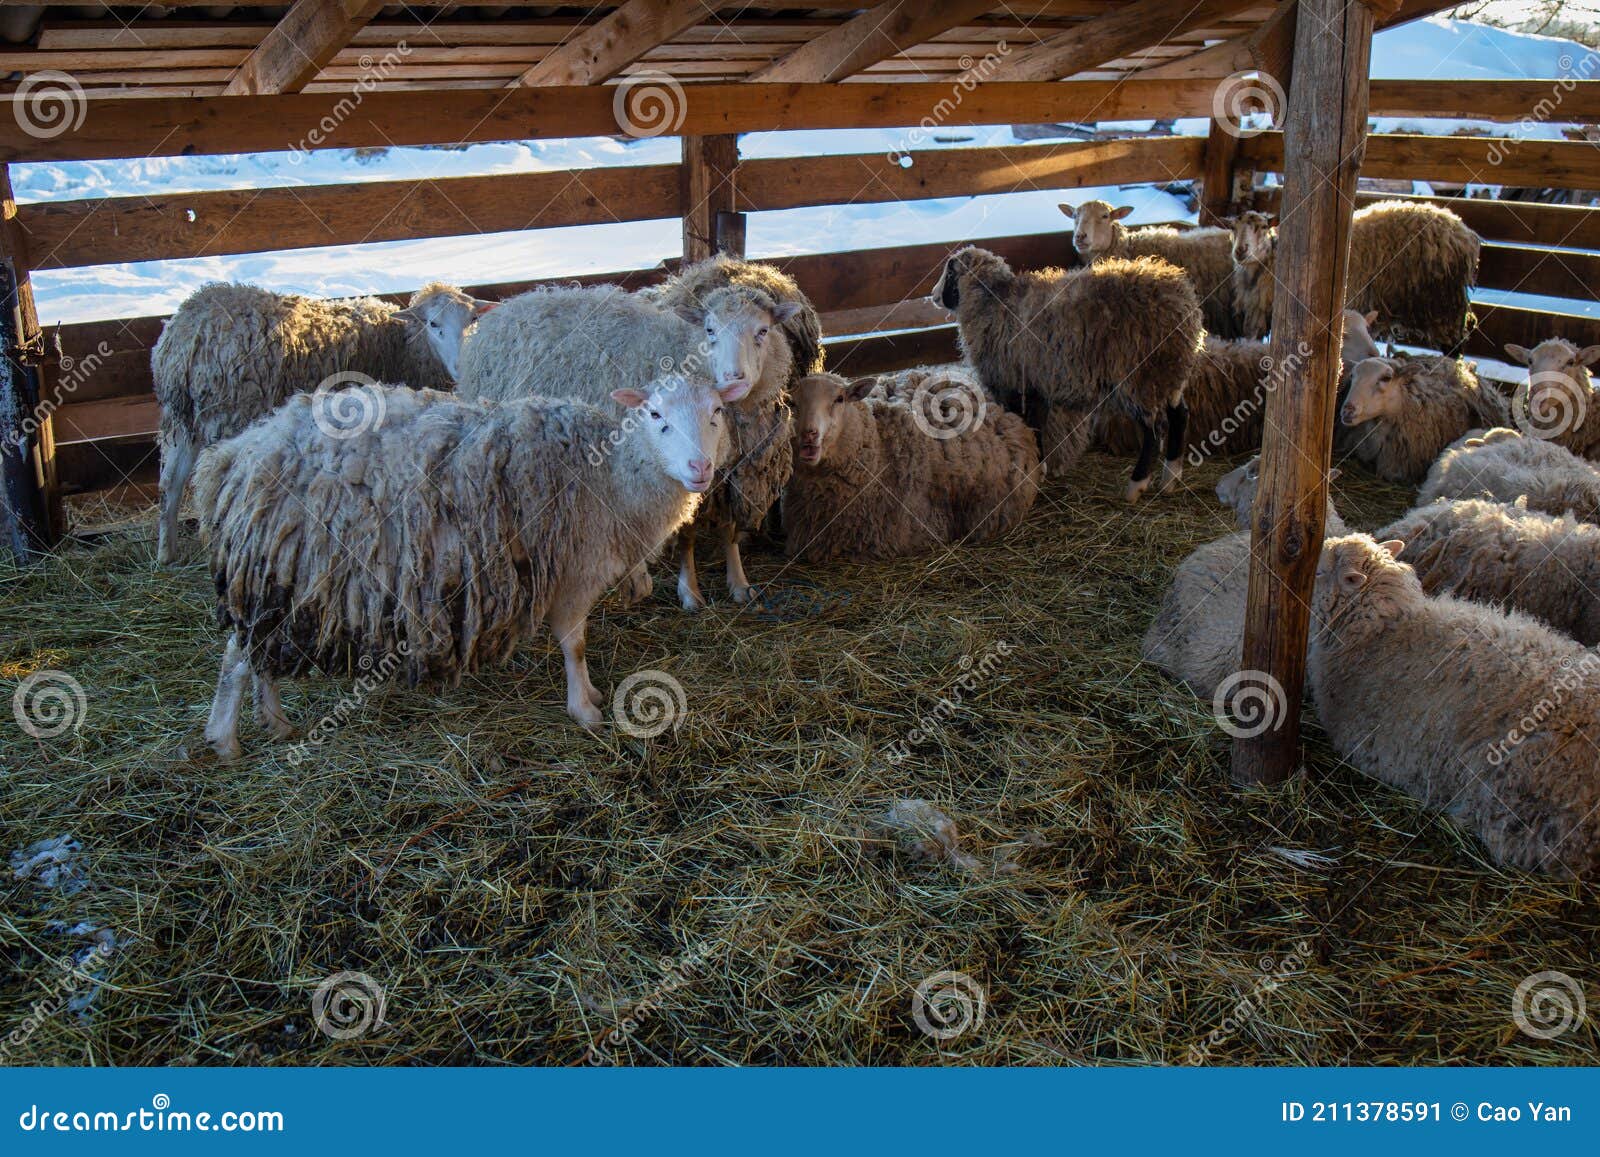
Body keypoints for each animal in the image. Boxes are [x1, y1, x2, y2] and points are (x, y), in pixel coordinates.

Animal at [152, 280, 489, 565]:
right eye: (434, 324)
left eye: (471, 320)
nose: (460, 367)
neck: (403, 341)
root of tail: (185, 334)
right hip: (229, 414)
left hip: (179, 421)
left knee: (171, 482)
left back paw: (166, 554)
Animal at [193, 373, 749, 760]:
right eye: (655, 414)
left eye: (718, 411)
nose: (700, 469)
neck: (612, 475)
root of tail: (236, 453)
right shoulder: (573, 574)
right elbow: (575, 644)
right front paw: (586, 709)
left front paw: (589, 694)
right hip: (276, 559)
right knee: (236, 654)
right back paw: (225, 738)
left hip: (278, 574)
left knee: (256, 646)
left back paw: (274, 720)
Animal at [455, 281, 801, 610]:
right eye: (710, 330)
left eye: (763, 331)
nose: (734, 377)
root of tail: (510, 305)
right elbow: (686, 532)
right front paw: (689, 592)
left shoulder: (728, 471)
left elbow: (729, 528)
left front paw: (739, 584)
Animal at [930, 246, 1202, 502]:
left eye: (950, 272)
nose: (933, 295)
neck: (993, 302)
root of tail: (1183, 302)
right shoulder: (1037, 381)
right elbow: (1036, 426)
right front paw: (1040, 468)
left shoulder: (1011, 383)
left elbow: (1025, 426)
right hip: (1168, 375)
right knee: (1180, 416)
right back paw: (1170, 479)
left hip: (1141, 377)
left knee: (1155, 430)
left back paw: (1136, 486)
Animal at [1228, 202, 1480, 350]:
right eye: (1233, 228)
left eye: (1262, 227)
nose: (1240, 251)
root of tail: (1463, 232)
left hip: (1443, 306)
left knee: (1454, 348)